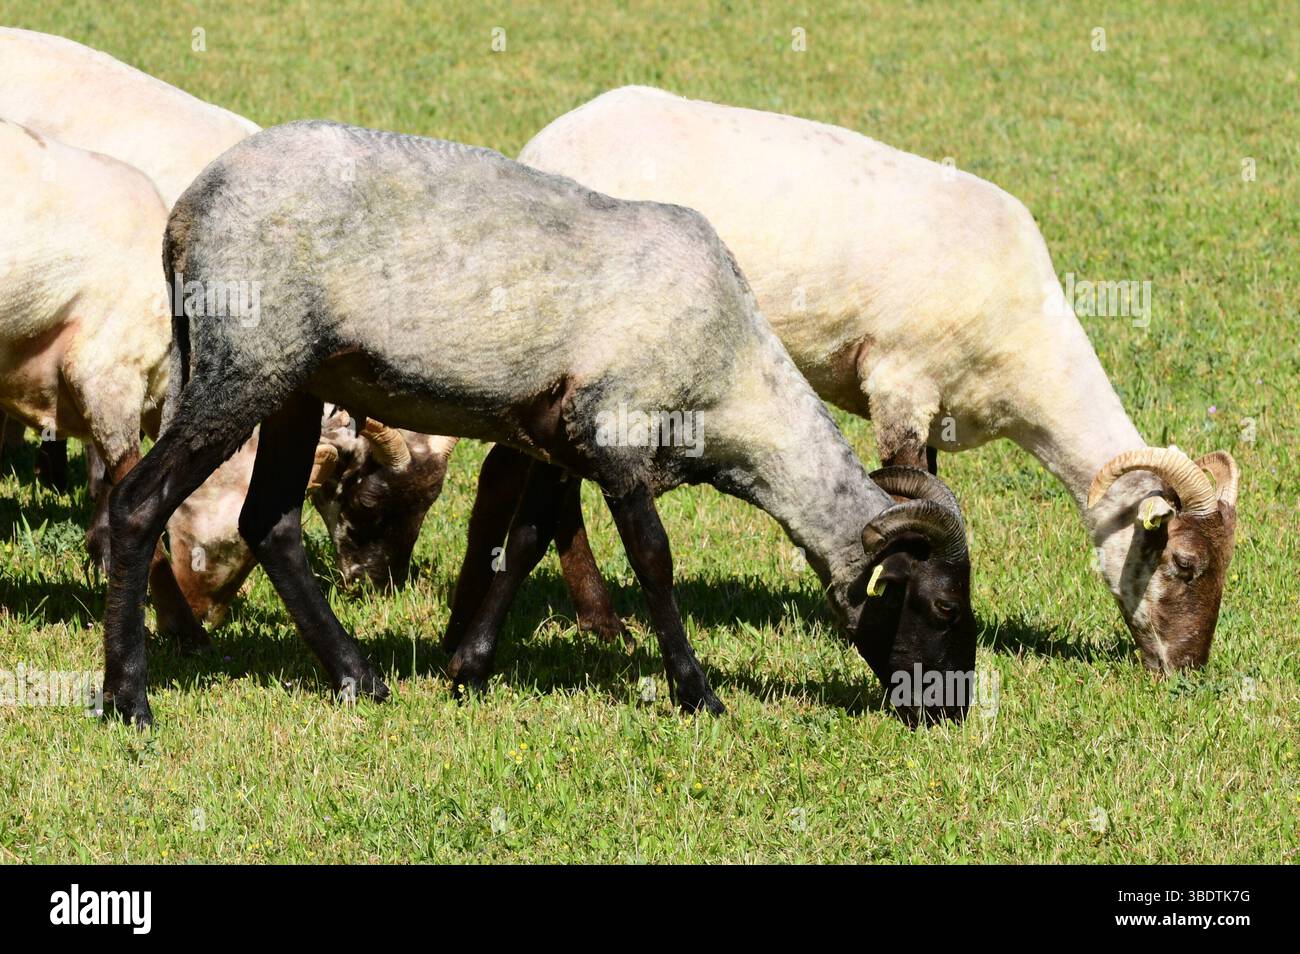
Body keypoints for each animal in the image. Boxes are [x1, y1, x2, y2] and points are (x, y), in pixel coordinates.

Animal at [100, 120, 976, 727]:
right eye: (941, 607)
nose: (951, 710)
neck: (734, 382)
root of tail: (185, 213)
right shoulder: (616, 430)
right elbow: (654, 558)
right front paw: (697, 693)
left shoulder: (563, 441)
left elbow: (522, 543)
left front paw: (468, 670)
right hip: (245, 362)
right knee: (140, 503)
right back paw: (128, 701)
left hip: (294, 381)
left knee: (270, 520)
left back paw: (359, 678)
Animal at [518, 86, 1241, 672]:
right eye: (1185, 565)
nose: (1186, 672)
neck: (1030, 367)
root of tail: (547, 137)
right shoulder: (901, 384)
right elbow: (907, 484)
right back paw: (603, 622)